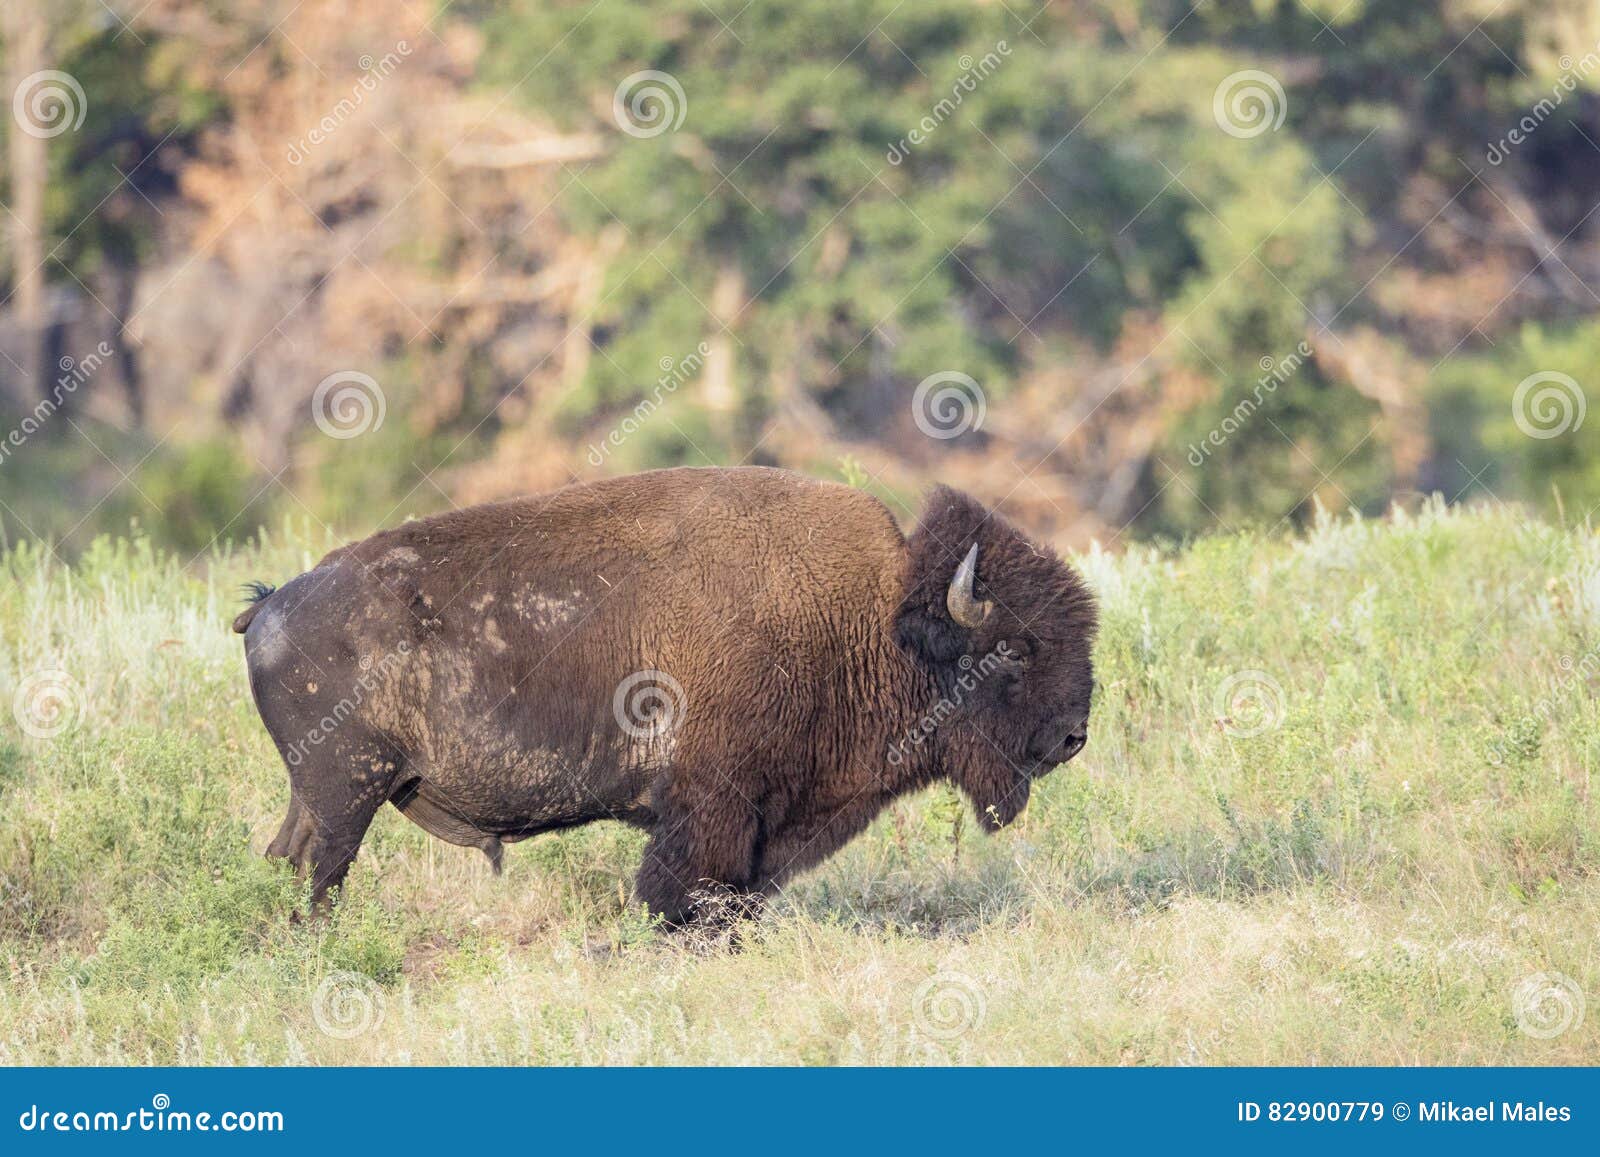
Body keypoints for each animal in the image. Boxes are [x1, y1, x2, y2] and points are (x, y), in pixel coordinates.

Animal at [234, 466, 1097, 926]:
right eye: (1013, 648)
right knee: (319, 869)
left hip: (322, 794)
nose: (1071, 735)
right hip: (347, 795)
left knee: (288, 860)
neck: (875, 617)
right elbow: (682, 890)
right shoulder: (711, 807)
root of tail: (272, 604)